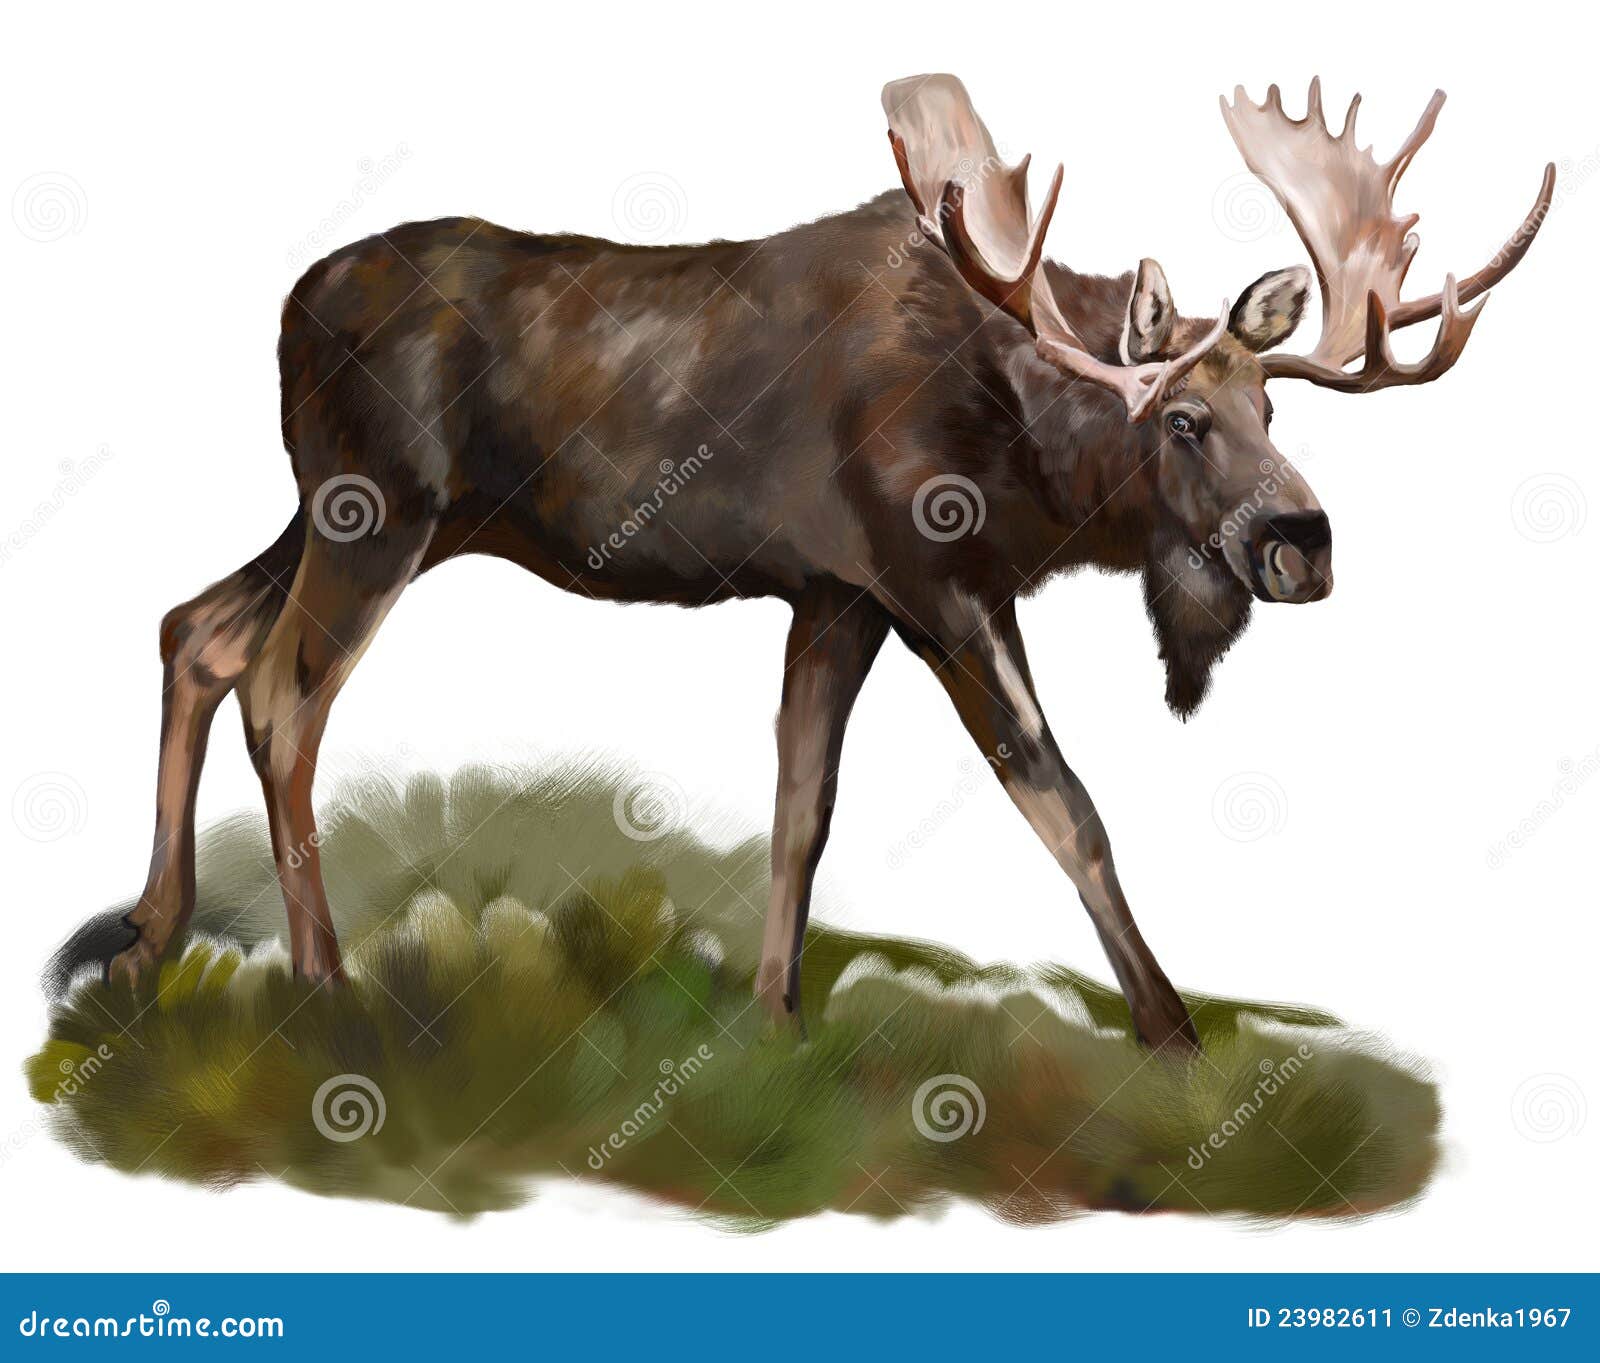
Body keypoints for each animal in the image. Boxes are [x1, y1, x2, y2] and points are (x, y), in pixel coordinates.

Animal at [106, 74, 1551, 1054]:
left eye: (1274, 406)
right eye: (1187, 417)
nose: (1301, 540)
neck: (1031, 447)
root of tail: (288, 305)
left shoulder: (834, 594)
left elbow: (804, 804)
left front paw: (773, 1015)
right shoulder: (930, 575)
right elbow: (1061, 797)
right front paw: (1172, 1031)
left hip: (358, 511)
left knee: (198, 626)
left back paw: (148, 939)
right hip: (381, 512)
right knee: (283, 694)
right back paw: (321, 984)